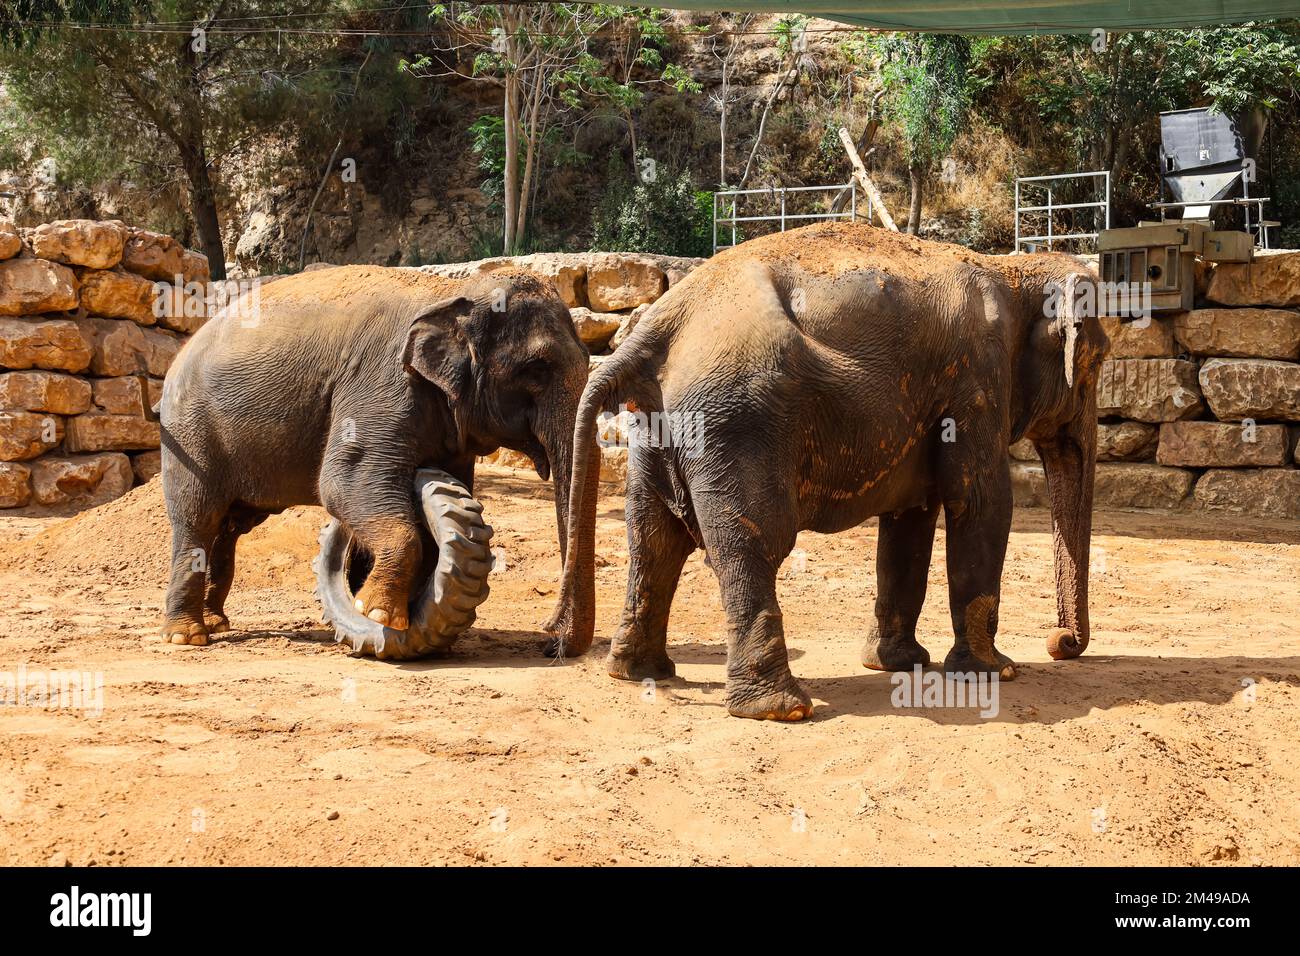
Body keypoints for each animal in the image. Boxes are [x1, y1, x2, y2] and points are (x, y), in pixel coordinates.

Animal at [158, 264, 593, 658]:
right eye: (536, 369)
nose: (549, 640)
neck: (451, 293)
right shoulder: (381, 386)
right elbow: (341, 483)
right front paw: (377, 614)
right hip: (189, 432)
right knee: (198, 518)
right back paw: (187, 637)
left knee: (230, 527)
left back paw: (216, 622)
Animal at [546, 222, 1108, 721]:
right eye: (1098, 362)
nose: (1060, 642)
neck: (1009, 270)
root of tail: (650, 331)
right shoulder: (977, 379)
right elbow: (983, 504)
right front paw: (996, 672)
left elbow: (911, 518)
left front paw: (898, 664)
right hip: (736, 422)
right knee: (754, 543)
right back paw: (782, 709)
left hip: (657, 432)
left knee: (654, 540)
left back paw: (638, 673)